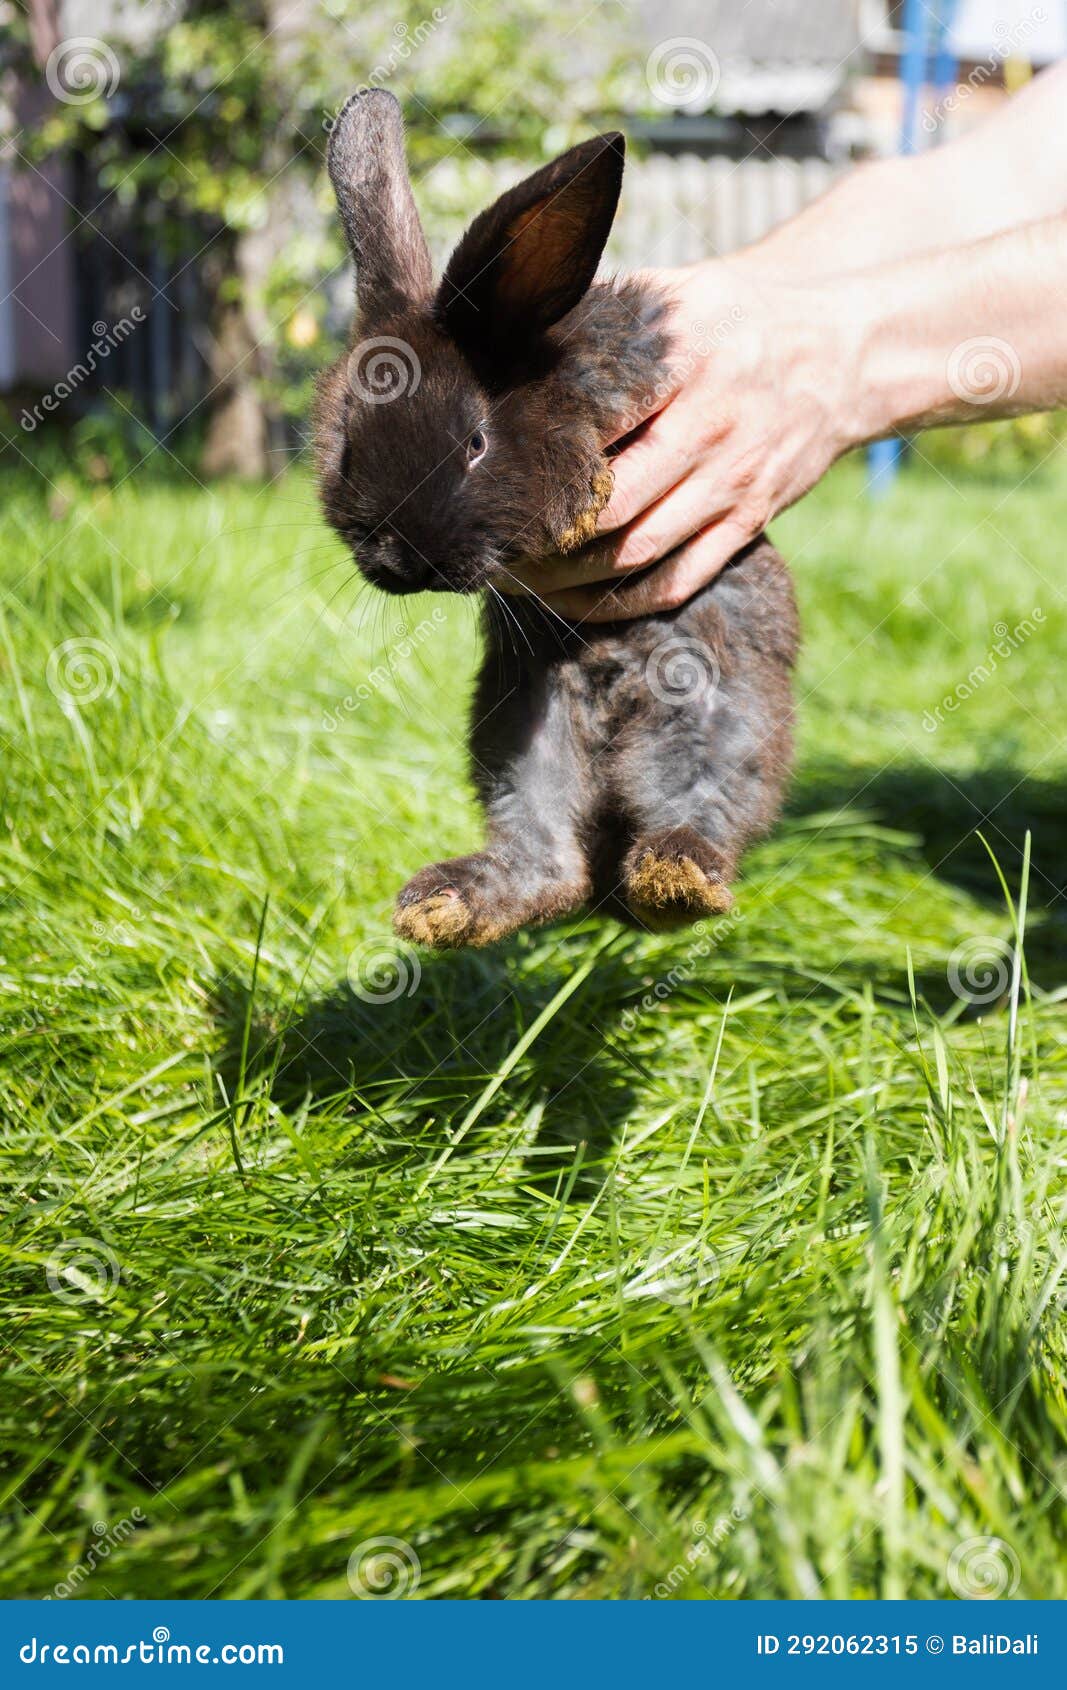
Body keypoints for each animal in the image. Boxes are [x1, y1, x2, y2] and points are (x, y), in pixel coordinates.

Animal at [315, 88, 798, 949]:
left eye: (475, 443)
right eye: (343, 447)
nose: (402, 563)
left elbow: (580, 421)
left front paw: (578, 497)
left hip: (713, 710)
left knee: (697, 816)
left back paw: (673, 879)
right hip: (518, 729)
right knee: (550, 867)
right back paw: (445, 905)